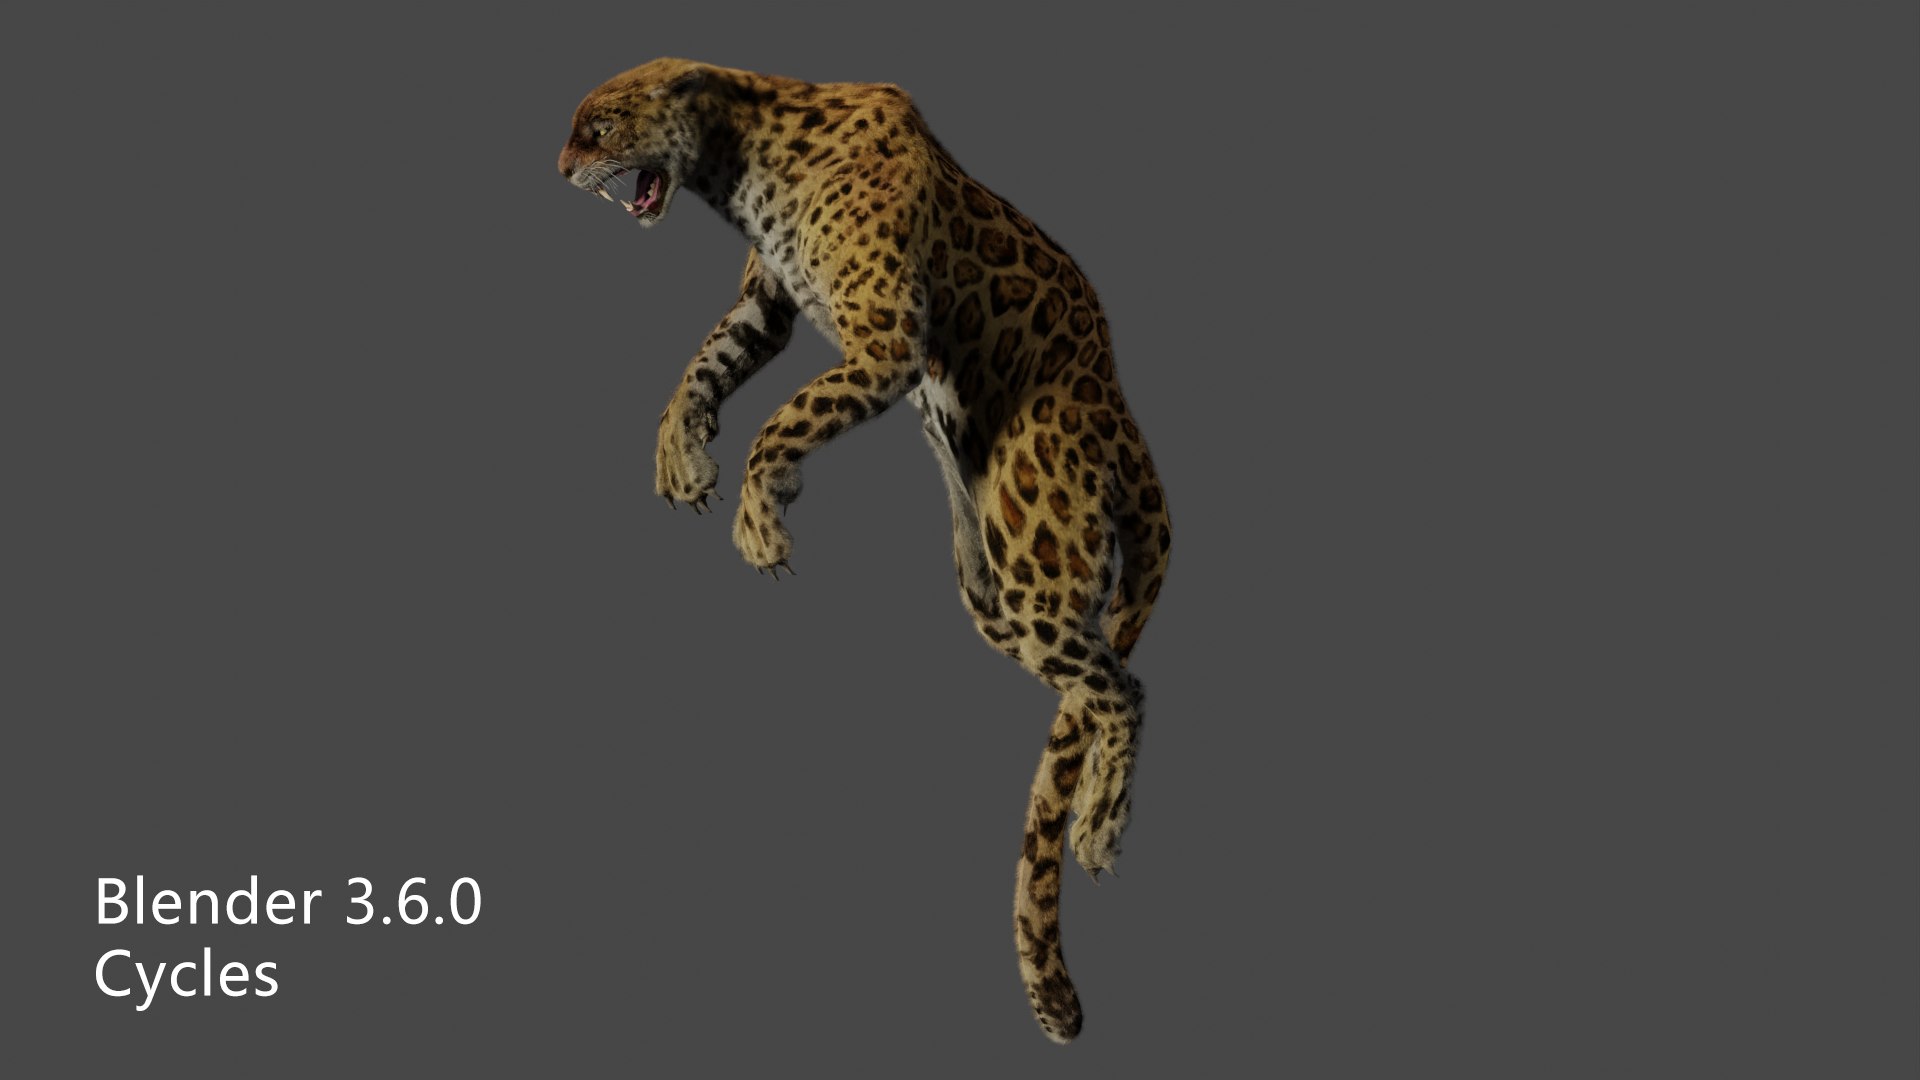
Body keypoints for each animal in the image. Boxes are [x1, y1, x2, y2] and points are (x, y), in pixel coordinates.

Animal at [557, 58, 1171, 1044]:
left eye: (600, 128)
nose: (562, 168)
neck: (735, 160)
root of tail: (1122, 419)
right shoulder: (764, 304)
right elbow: (707, 363)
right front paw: (682, 455)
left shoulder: (885, 345)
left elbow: (787, 416)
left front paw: (761, 517)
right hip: (991, 592)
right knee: (1088, 683)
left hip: (1037, 561)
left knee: (1124, 687)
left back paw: (1100, 827)